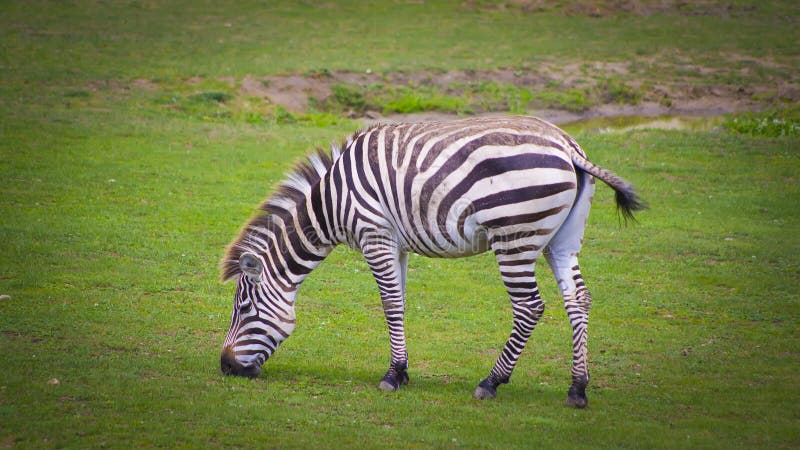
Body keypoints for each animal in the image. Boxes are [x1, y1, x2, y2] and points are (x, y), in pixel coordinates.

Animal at [219, 115, 644, 407]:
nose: (225, 368)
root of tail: (568, 146)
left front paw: (393, 375)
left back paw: (491, 382)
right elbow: (401, 304)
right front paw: (403, 369)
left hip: (514, 238)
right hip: (562, 240)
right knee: (579, 300)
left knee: (529, 307)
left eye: (243, 308)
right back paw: (577, 388)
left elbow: (390, 304)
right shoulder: (397, 244)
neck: (332, 203)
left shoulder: (375, 236)